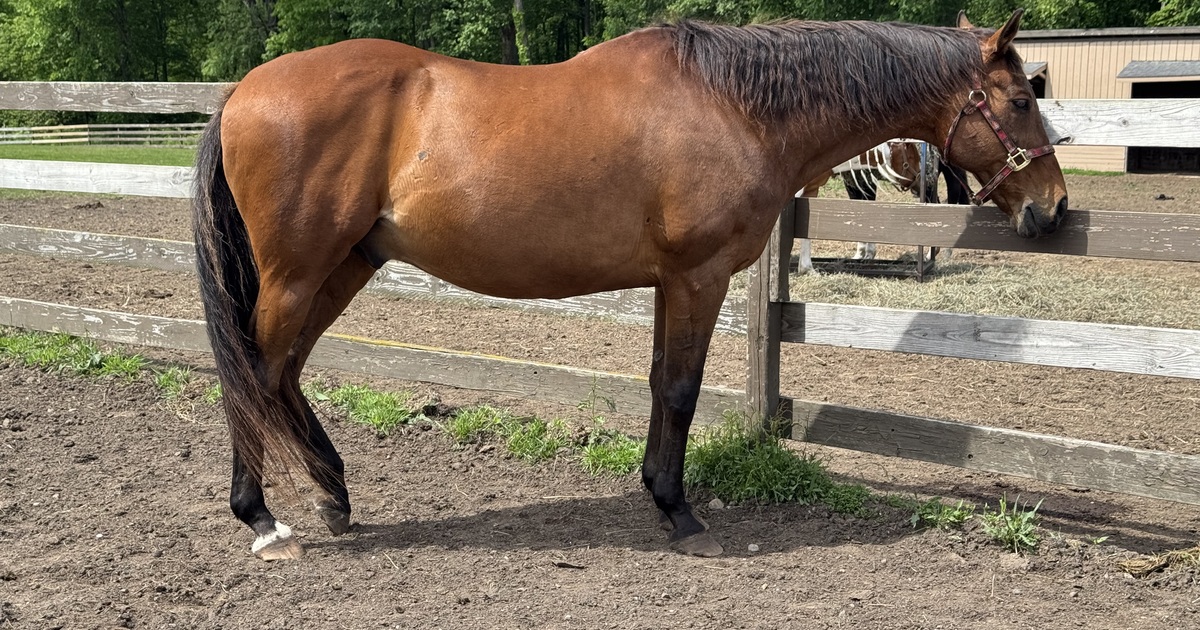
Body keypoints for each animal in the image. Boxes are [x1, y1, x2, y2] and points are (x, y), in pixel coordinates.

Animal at [192, 9, 1066, 561]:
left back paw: (333, 494)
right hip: (299, 273)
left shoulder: (665, 282)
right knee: (255, 374)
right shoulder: (697, 277)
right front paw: (680, 514)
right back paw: (261, 516)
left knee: (284, 375)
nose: (1054, 208)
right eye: (1022, 98)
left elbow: (656, 384)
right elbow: (680, 390)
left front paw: (658, 493)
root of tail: (243, 91)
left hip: (344, 265)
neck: (734, 107)